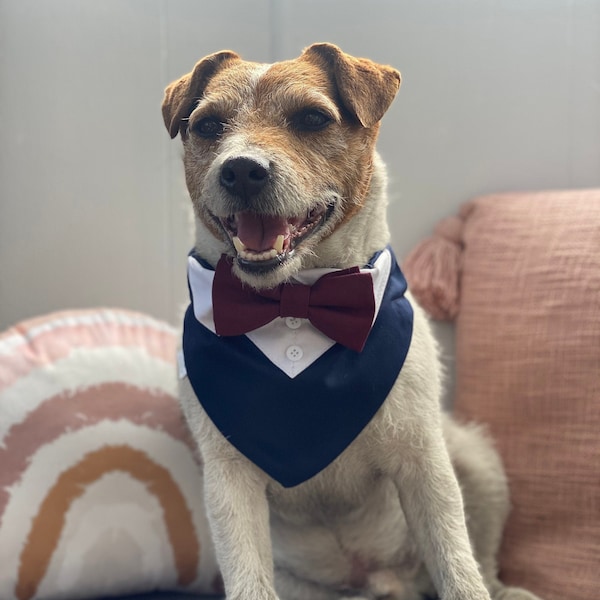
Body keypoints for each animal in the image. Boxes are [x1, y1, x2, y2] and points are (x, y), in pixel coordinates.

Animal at [161, 43, 540, 600]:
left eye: (312, 118)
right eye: (208, 125)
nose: (241, 170)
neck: (295, 298)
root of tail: (383, 580)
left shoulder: (424, 464)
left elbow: (458, 564)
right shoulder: (230, 483)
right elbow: (248, 577)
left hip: (474, 457)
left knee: (485, 561)